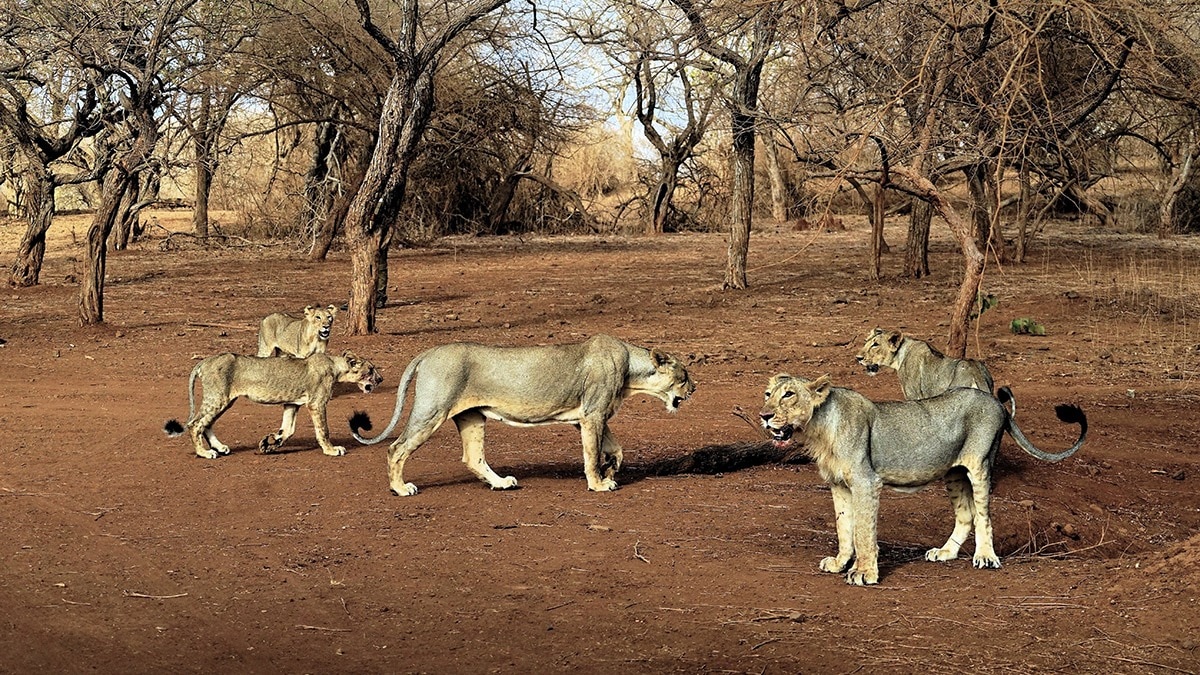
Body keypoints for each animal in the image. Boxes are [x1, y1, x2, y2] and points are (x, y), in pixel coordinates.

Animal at [164, 350, 382, 459]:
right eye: (371, 369)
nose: (381, 379)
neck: (335, 368)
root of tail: (205, 360)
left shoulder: (292, 404)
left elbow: (288, 430)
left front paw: (269, 444)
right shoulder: (316, 403)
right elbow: (323, 430)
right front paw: (331, 450)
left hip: (225, 400)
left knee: (206, 423)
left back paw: (219, 448)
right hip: (218, 397)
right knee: (195, 424)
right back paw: (204, 453)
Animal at [349, 334, 696, 496]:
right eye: (684, 376)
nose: (695, 388)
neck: (632, 371)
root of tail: (428, 351)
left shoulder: (586, 417)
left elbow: (616, 449)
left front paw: (611, 470)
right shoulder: (593, 414)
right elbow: (591, 454)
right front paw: (599, 483)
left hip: (472, 416)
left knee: (473, 457)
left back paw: (502, 483)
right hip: (432, 410)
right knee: (397, 448)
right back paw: (400, 488)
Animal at [759, 373, 1086, 586]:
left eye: (789, 394)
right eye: (768, 394)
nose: (764, 415)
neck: (818, 428)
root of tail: (995, 402)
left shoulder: (866, 482)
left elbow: (863, 531)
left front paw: (865, 573)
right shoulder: (838, 484)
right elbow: (844, 528)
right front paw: (840, 563)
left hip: (980, 464)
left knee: (983, 516)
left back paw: (985, 557)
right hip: (954, 473)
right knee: (965, 515)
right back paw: (945, 553)